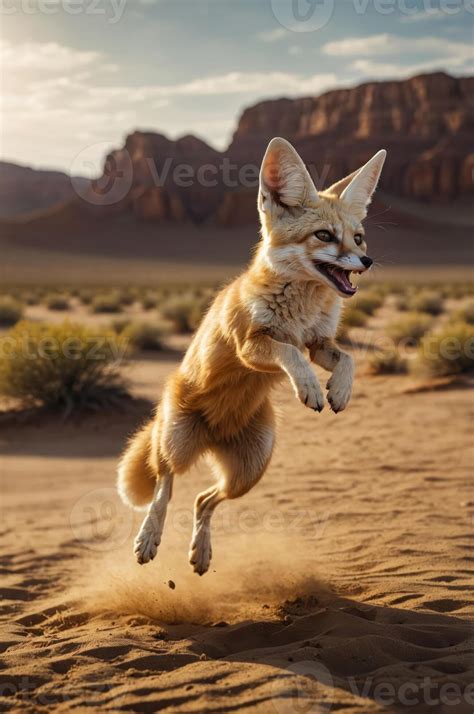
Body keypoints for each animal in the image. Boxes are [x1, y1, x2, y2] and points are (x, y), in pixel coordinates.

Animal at [117, 137, 386, 575]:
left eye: (359, 238)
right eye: (324, 235)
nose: (366, 261)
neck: (301, 308)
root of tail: (213, 436)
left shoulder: (319, 342)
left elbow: (347, 358)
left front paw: (339, 391)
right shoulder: (250, 346)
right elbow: (288, 352)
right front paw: (311, 388)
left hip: (248, 473)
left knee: (202, 499)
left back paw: (201, 553)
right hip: (176, 443)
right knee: (164, 487)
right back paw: (148, 540)